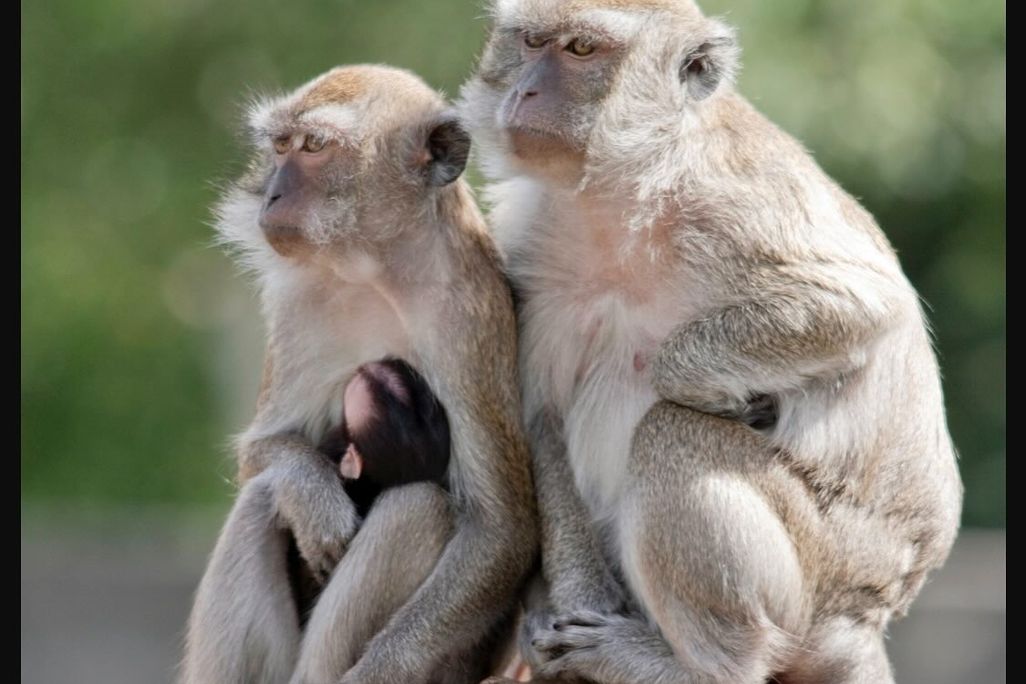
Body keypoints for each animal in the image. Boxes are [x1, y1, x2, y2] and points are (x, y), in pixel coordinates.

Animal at [182, 65, 537, 684]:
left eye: (314, 146)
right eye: (281, 145)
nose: (271, 193)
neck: (377, 271)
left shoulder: (469, 317)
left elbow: (502, 530)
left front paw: (379, 670)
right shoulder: (298, 305)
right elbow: (261, 453)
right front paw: (313, 494)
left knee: (417, 510)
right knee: (259, 500)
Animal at [458, 2, 963, 683]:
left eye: (581, 50)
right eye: (533, 42)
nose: (527, 91)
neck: (621, 193)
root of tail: (870, 614)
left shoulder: (735, 204)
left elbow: (863, 306)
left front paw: (711, 389)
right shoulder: (533, 247)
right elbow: (544, 414)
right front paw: (570, 609)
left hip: (824, 570)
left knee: (671, 432)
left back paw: (708, 666)